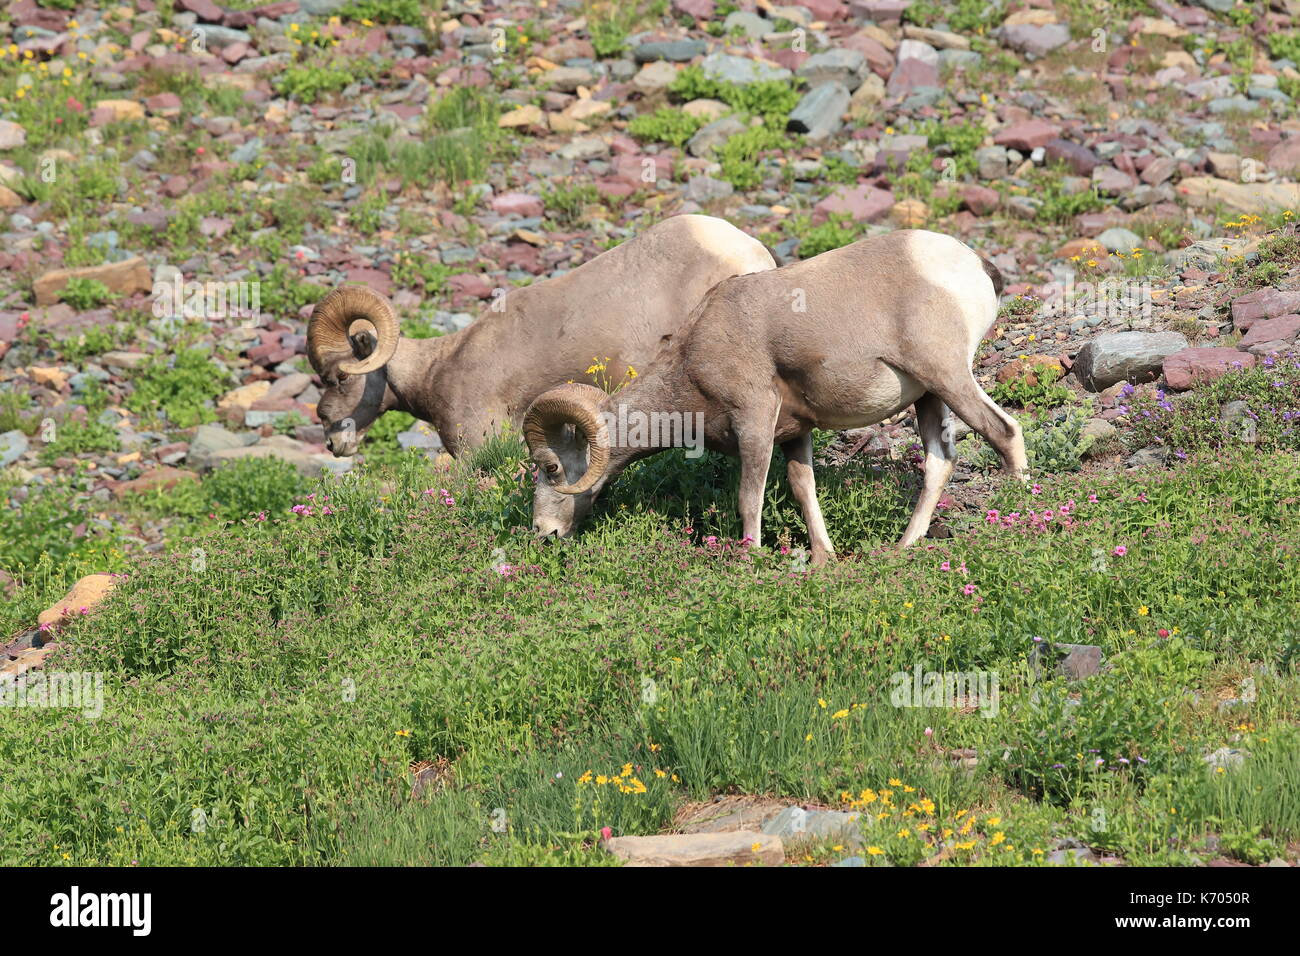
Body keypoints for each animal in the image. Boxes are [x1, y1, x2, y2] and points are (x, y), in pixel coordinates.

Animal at [523, 229, 1028, 563]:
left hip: (947, 376)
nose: (544, 533)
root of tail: (974, 266)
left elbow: (750, 499)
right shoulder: (794, 434)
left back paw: (1022, 506)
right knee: (940, 461)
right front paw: (825, 560)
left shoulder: (754, 422)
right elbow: (805, 491)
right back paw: (902, 548)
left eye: (551, 468)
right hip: (928, 398)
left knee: (1004, 432)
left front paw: (750, 561)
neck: (691, 360)